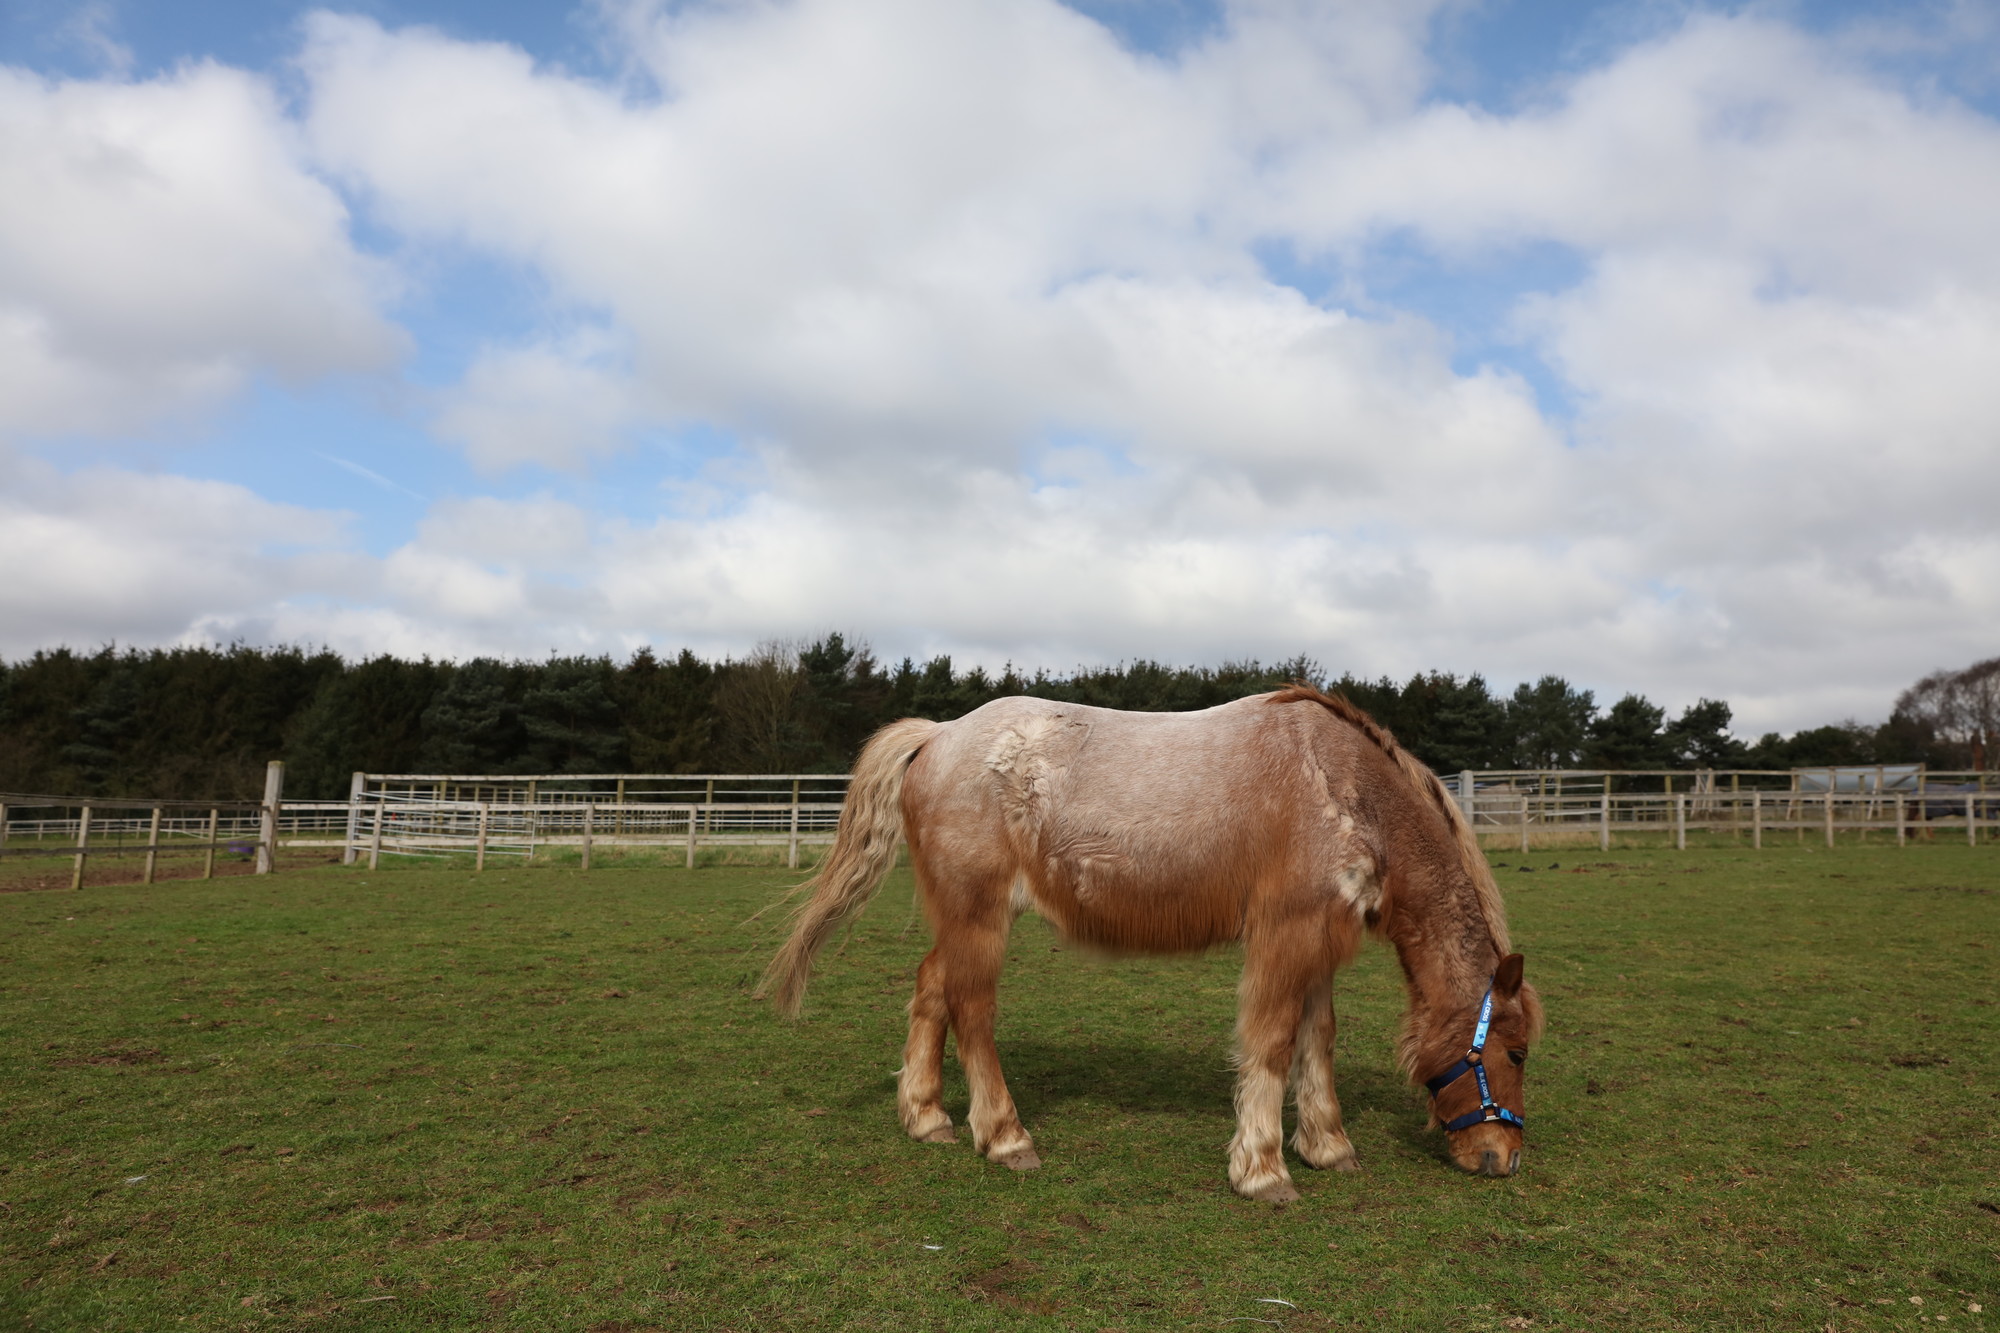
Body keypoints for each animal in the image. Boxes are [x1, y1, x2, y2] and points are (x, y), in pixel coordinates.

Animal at [761, 685, 1543, 1201]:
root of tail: (938, 735)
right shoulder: (1286, 933)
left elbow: (1316, 1037)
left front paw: (1327, 1145)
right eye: (1514, 1052)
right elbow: (1271, 1042)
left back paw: (927, 1119)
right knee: (972, 1011)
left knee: (931, 990)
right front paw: (1262, 1170)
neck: (1342, 784)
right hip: (980, 917)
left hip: (957, 919)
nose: (1501, 1157)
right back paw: (1007, 1137)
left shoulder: (1320, 938)